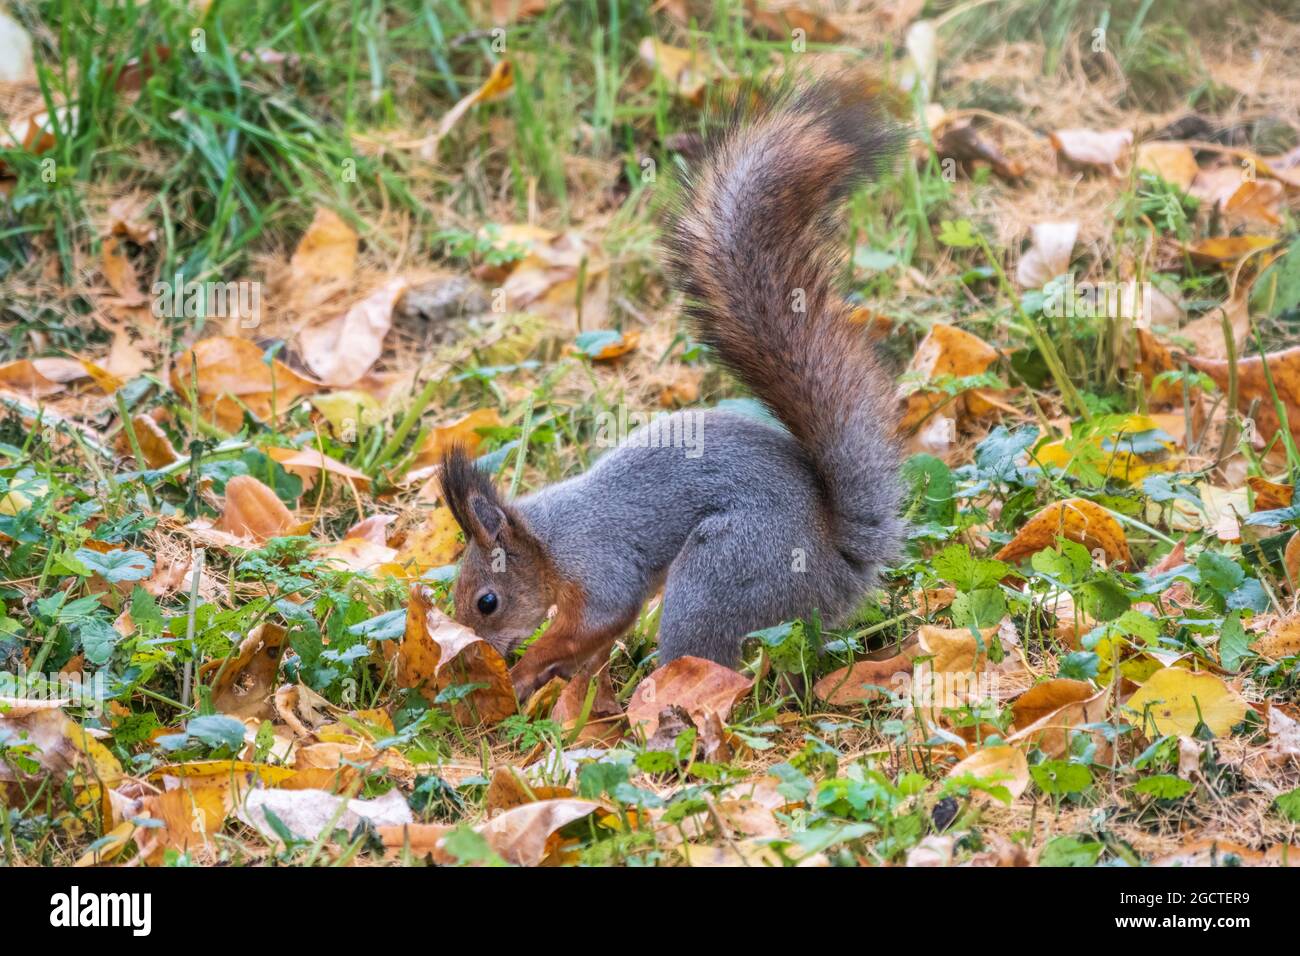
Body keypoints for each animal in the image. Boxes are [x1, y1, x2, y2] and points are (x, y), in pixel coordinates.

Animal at [440, 77, 906, 700]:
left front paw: (524, 671)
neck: (547, 540)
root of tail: (840, 566)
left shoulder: (601, 564)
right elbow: (596, 640)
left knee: (711, 662)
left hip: (721, 573)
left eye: (487, 602)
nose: (478, 656)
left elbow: (598, 619)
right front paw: (566, 682)